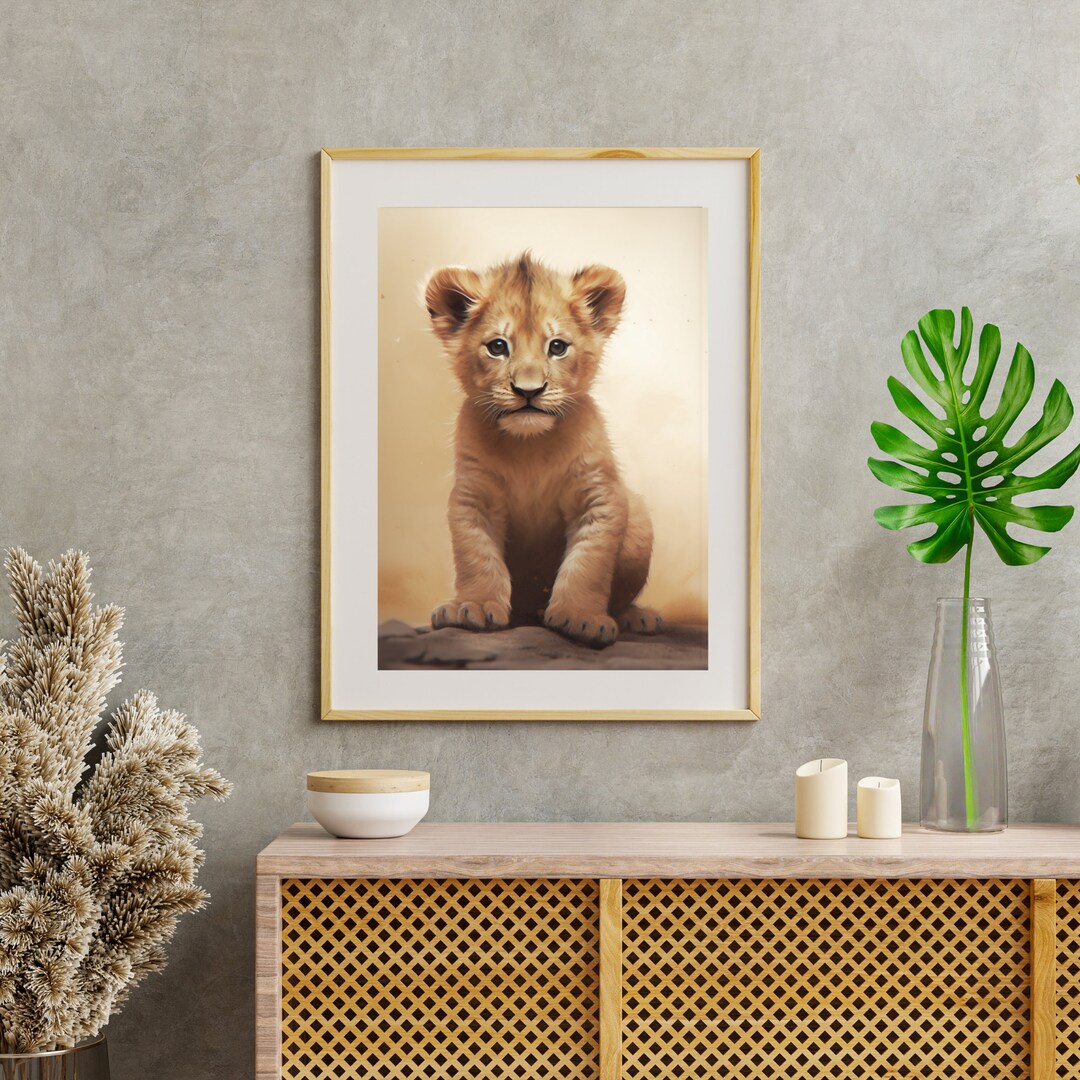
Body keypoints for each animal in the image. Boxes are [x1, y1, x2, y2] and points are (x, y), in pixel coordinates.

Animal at [423, 251, 662, 647]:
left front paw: (581, 617)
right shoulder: (475, 497)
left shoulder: (599, 496)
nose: (529, 391)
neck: (530, 446)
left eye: (557, 347)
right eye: (498, 346)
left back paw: (635, 617)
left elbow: (589, 563)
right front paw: (473, 606)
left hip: (639, 527)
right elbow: (477, 557)